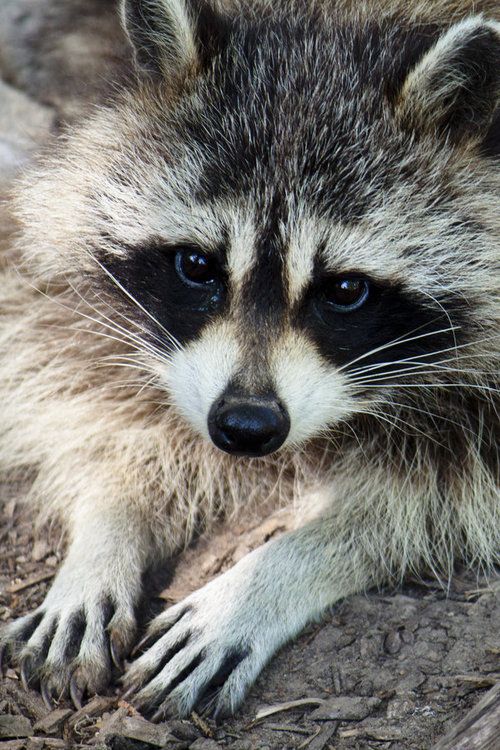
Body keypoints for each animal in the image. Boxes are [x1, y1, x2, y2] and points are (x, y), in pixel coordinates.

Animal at [0, 0, 499, 721]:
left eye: (344, 290)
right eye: (196, 264)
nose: (245, 426)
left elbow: (441, 495)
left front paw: (273, 574)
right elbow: (80, 381)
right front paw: (107, 521)